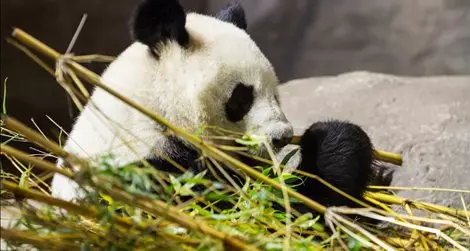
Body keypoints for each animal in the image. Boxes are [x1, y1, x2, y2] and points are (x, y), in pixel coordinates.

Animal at [50, 0, 392, 212]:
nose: (282, 136)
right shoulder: (149, 176)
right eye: (241, 97)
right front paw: (332, 140)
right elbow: (267, 209)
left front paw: (378, 174)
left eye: (276, 94)